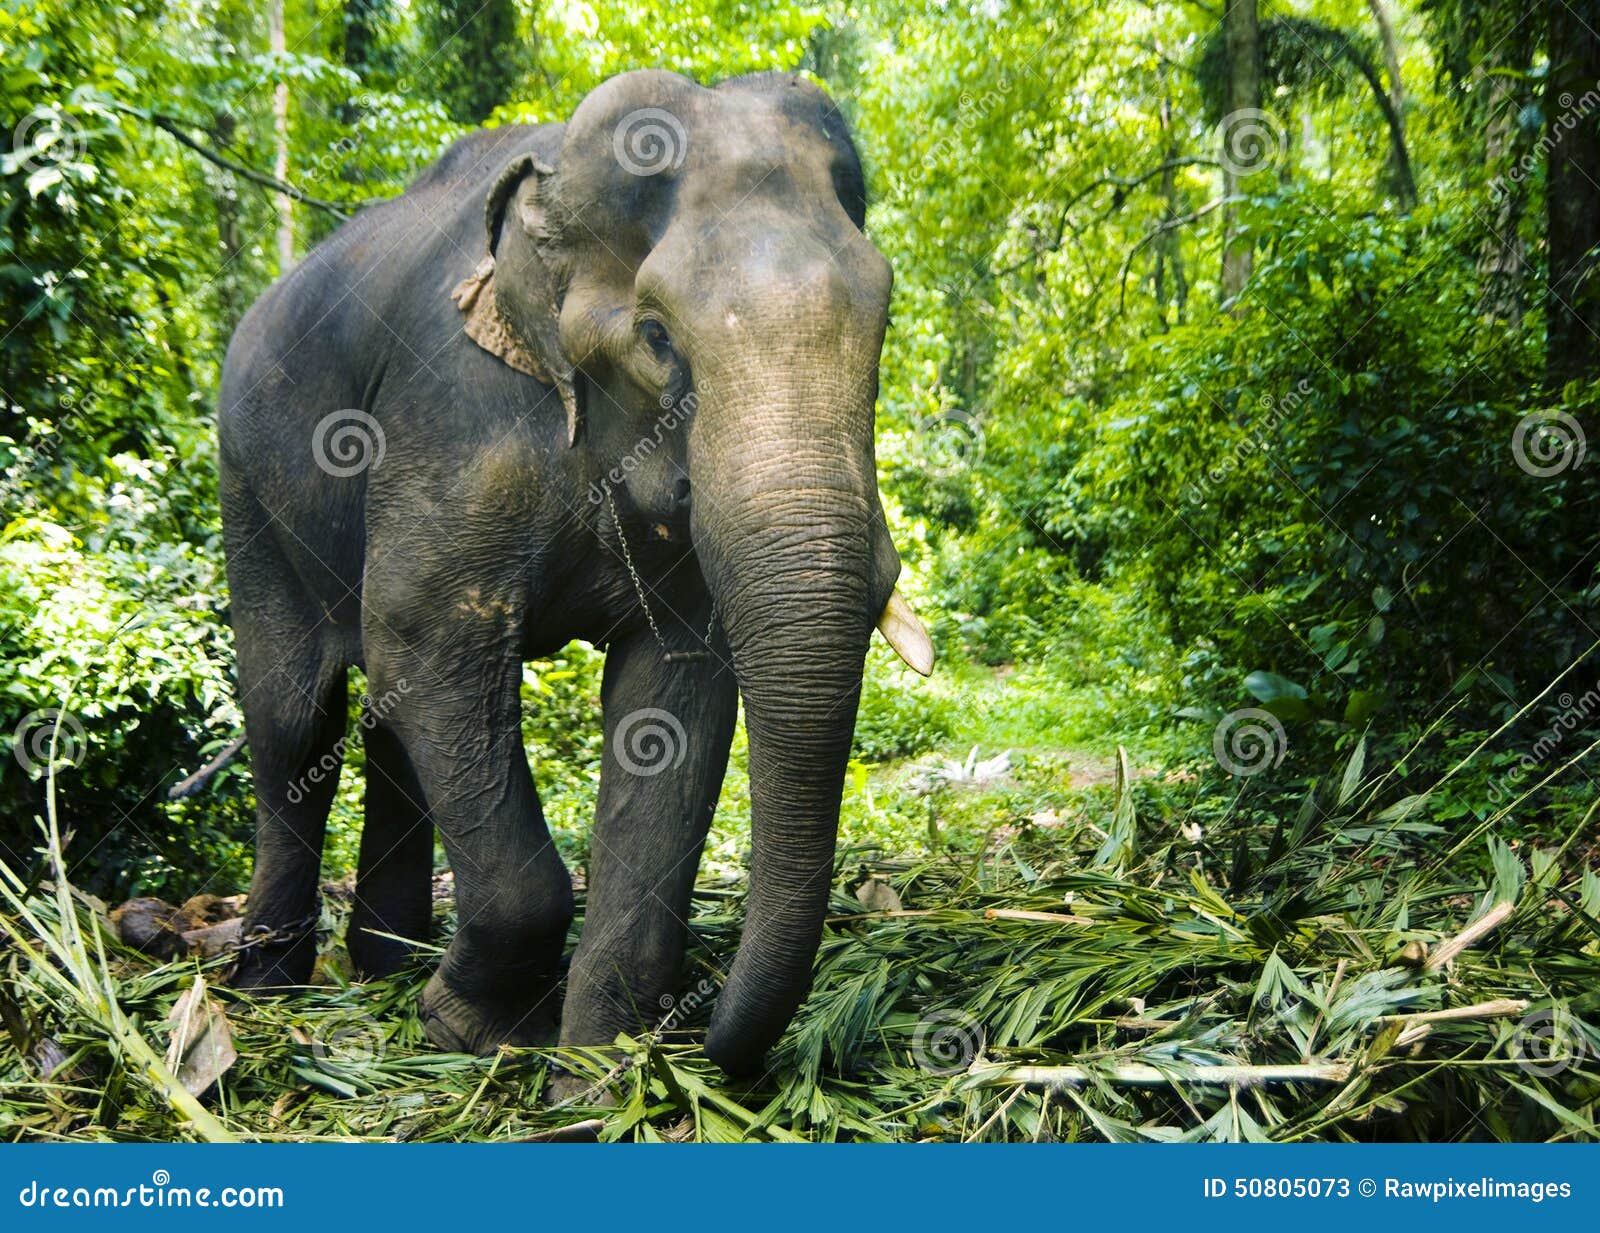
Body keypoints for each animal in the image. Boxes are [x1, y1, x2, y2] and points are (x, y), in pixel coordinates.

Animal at [217, 68, 933, 1075]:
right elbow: (427, 638)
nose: (709, 1034)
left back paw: (384, 966)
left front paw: (598, 1077)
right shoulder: (454, 413)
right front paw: (472, 1031)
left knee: (386, 724)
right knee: (294, 719)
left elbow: (672, 696)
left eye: (884, 324)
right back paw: (267, 994)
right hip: (247, 486)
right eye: (658, 335)